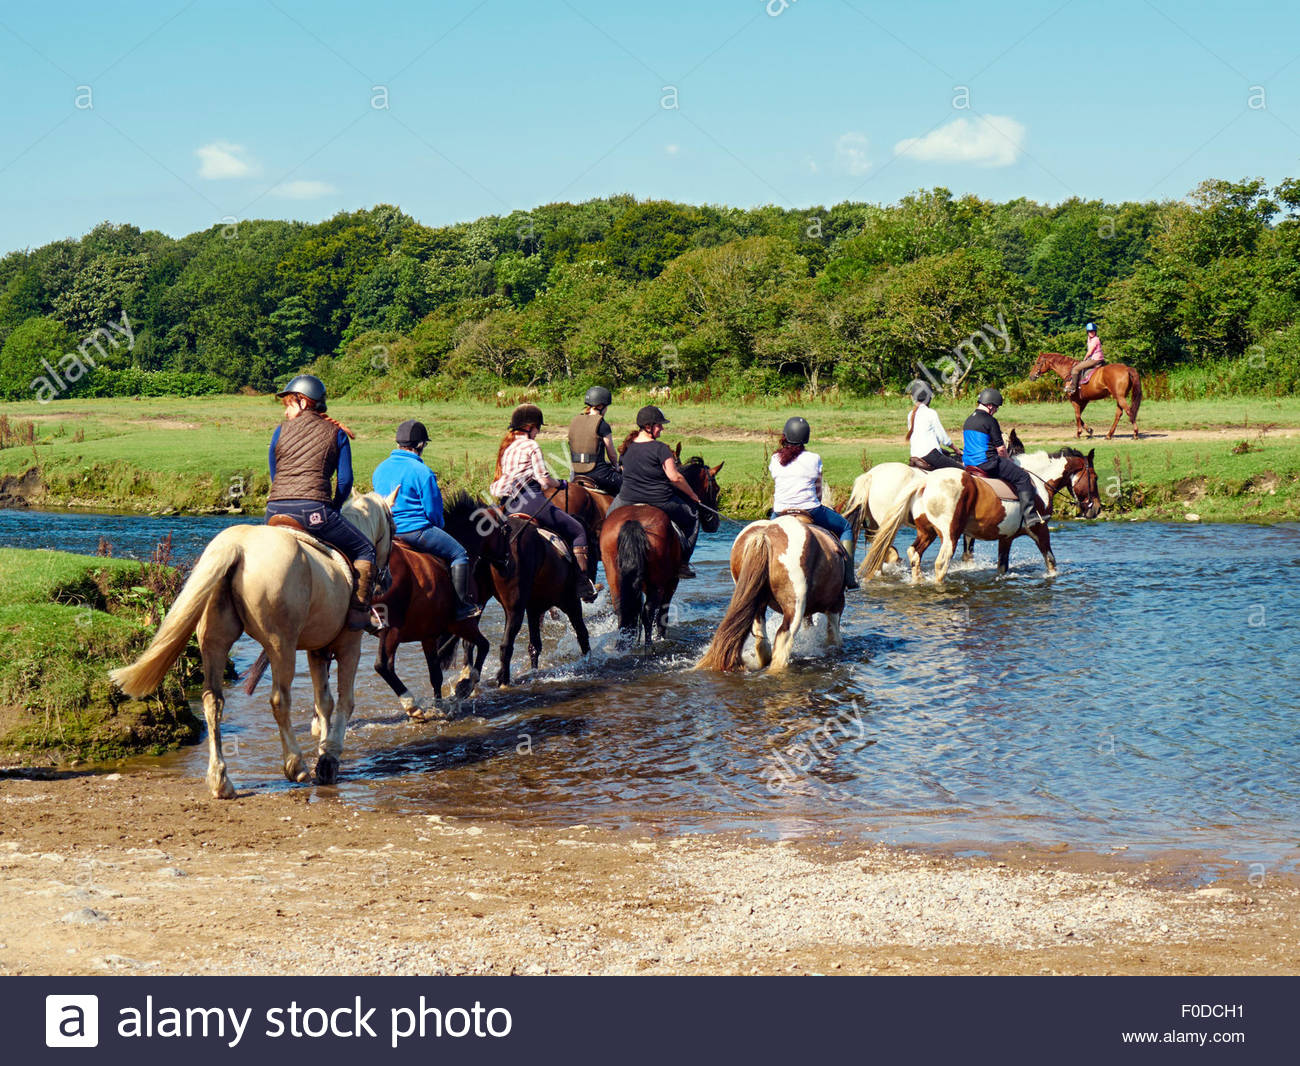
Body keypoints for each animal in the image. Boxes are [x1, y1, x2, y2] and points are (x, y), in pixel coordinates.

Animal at [108, 491, 397, 798]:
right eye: (393, 527)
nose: (387, 578)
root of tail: (238, 546)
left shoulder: (317, 650)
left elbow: (324, 702)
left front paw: (323, 747)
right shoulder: (348, 646)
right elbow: (344, 701)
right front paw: (328, 759)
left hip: (214, 642)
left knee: (213, 700)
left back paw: (220, 780)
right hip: (281, 646)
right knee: (280, 700)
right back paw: (296, 765)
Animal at [370, 491, 511, 719]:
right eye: (506, 530)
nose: (508, 566)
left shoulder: (428, 634)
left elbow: (435, 674)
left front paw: (439, 705)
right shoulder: (462, 624)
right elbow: (484, 645)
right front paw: (465, 685)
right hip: (391, 629)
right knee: (383, 665)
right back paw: (412, 706)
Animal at [599, 449, 723, 648]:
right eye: (717, 489)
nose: (714, 523)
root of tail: (633, 521)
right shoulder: (671, 581)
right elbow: (662, 612)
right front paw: (661, 637)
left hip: (615, 576)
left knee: (622, 611)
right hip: (657, 581)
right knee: (649, 612)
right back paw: (650, 646)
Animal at [695, 515, 844, 672]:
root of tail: (765, 534)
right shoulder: (837, 604)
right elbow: (834, 632)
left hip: (757, 603)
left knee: (760, 634)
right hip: (795, 606)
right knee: (783, 639)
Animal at [860, 448, 1101, 583]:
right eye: (1095, 478)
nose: (1096, 509)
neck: (1038, 482)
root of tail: (925, 481)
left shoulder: (1006, 537)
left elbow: (1001, 566)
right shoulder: (1039, 529)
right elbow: (1050, 560)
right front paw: (1053, 578)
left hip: (927, 532)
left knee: (912, 553)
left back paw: (916, 580)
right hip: (949, 534)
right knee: (939, 563)